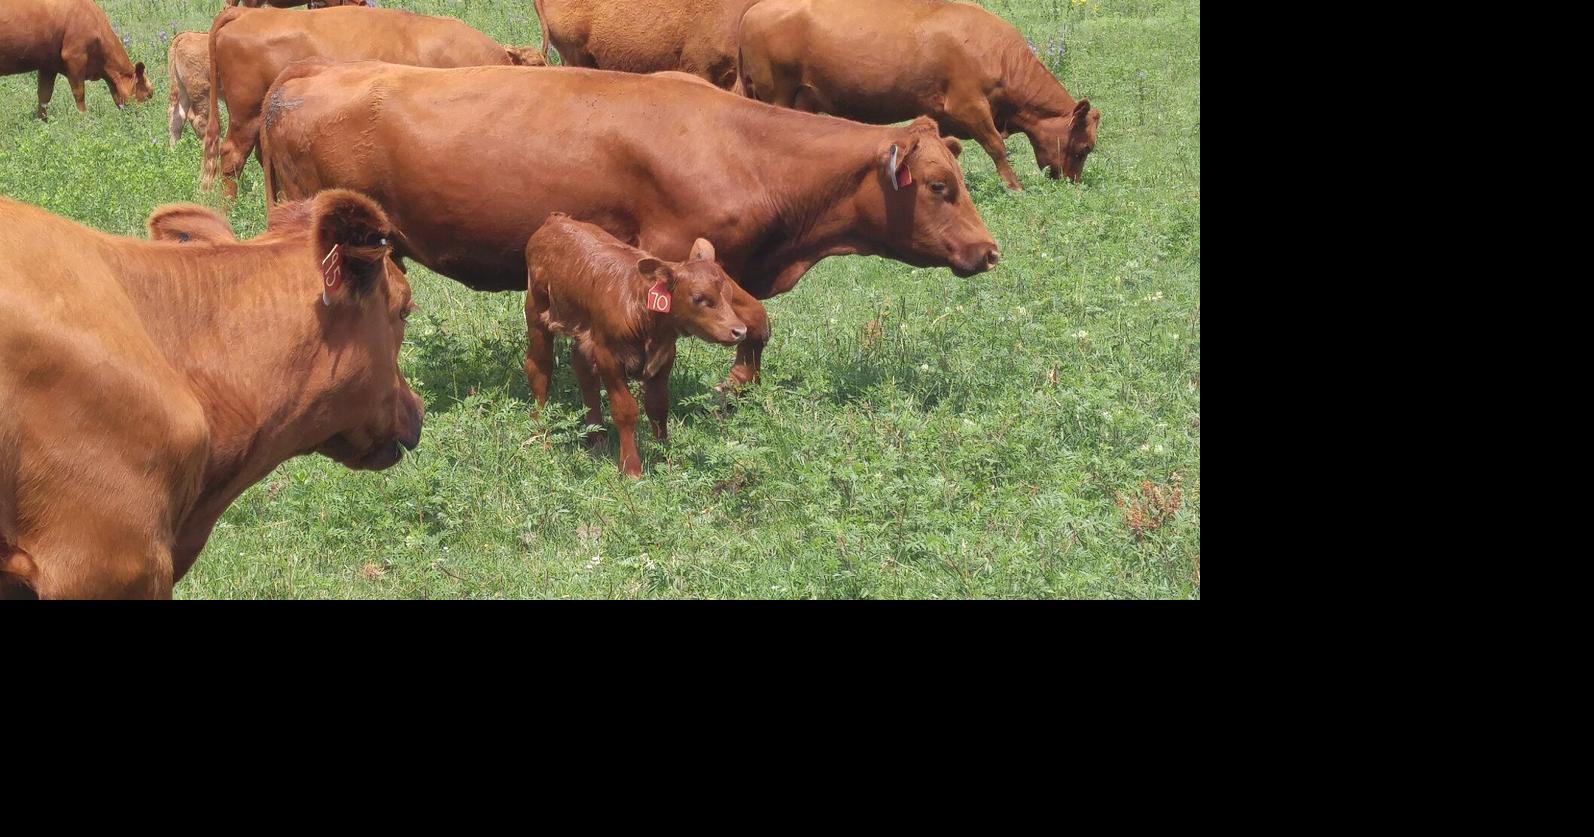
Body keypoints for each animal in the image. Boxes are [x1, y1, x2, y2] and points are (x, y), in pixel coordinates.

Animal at [0, 0, 152, 121]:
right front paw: (83, 119)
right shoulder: (75, 56)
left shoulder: (48, 65)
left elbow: (44, 95)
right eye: (148, 94)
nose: (146, 118)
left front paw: (42, 122)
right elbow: (79, 93)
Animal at [258, 63, 999, 389]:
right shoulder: (672, 254)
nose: (990, 250)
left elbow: (756, 320)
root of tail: (300, 79)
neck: (742, 145)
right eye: (941, 187)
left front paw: (741, 384)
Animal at [526, 214, 757, 477]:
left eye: (728, 295)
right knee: (539, 370)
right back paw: (541, 436)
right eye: (699, 298)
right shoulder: (608, 355)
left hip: (583, 332)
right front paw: (631, 468)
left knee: (585, 375)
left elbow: (658, 407)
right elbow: (625, 409)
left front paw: (665, 458)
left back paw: (596, 437)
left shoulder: (665, 356)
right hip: (536, 312)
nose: (739, 331)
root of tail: (556, 220)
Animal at [738, 0, 1103, 190]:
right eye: (1085, 148)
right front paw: (1015, 188)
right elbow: (997, 147)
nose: (1070, 183)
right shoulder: (970, 105)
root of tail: (756, 8)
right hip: (777, 94)